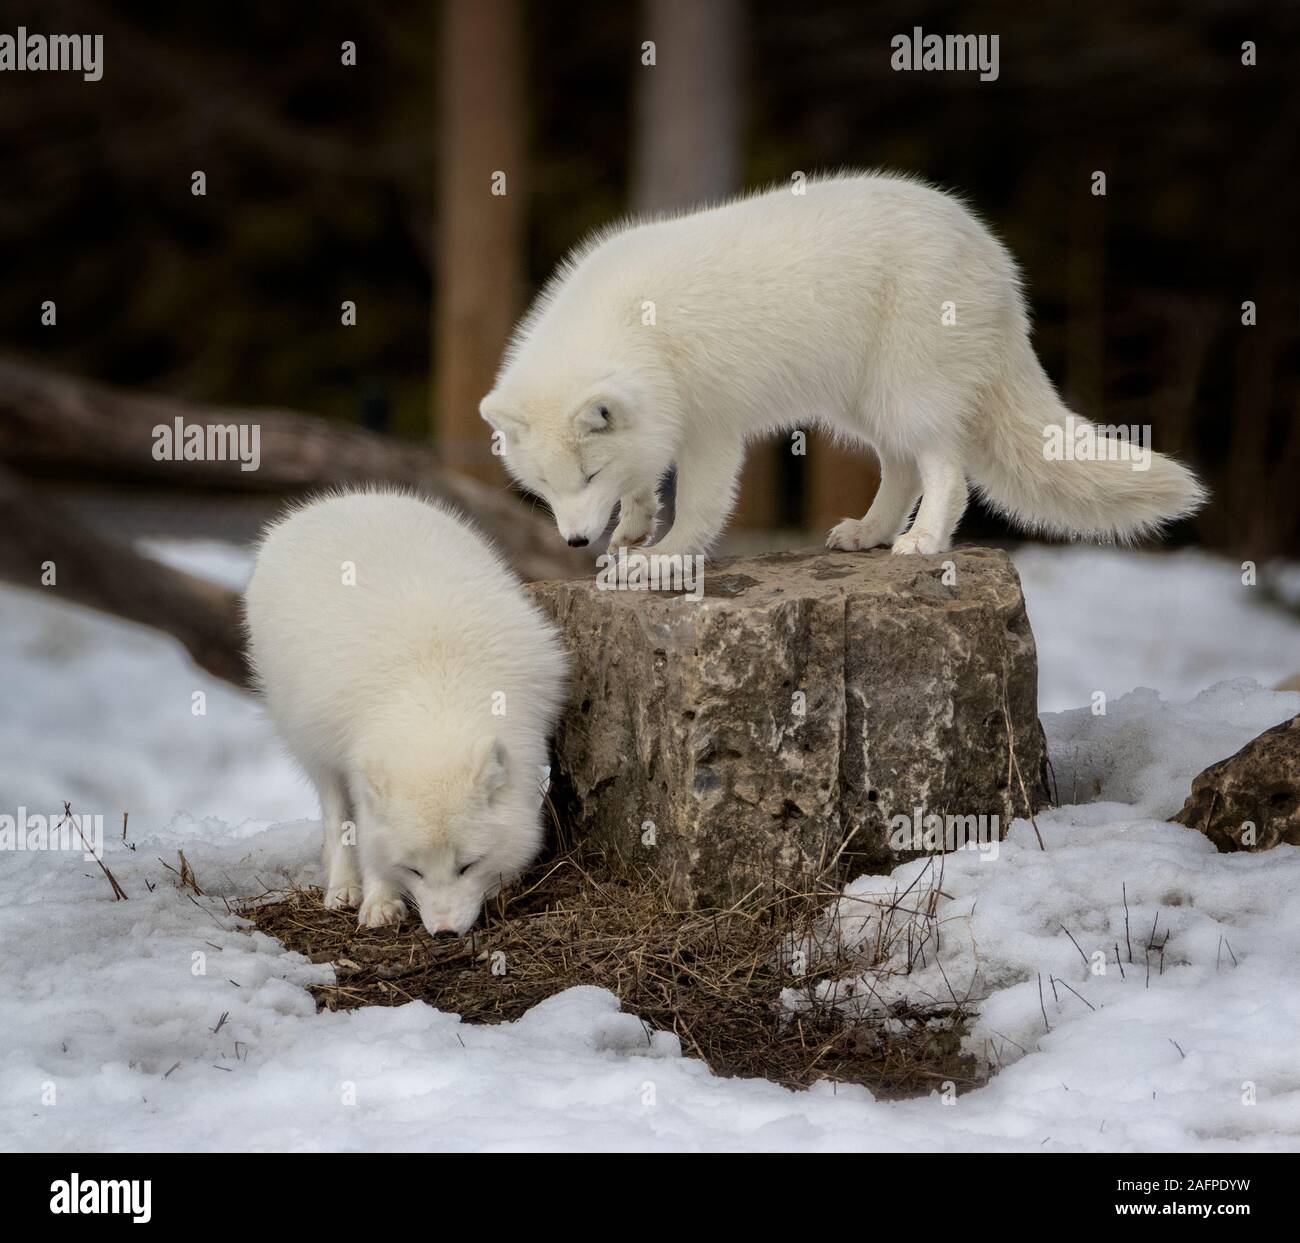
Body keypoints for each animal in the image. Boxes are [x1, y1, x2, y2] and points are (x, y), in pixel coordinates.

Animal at [243, 490, 568, 935]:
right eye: (414, 870)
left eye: (468, 865)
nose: (445, 933)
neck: (435, 695)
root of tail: (336, 501)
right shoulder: (357, 762)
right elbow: (365, 836)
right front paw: (379, 898)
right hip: (309, 743)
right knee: (335, 817)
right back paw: (343, 887)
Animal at [480, 172, 1205, 559]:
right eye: (543, 487)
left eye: (588, 472)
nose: (575, 544)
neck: (639, 330)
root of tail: (997, 259)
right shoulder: (661, 418)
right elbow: (643, 483)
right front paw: (632, 530)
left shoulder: (711, 426)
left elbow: (701, 504)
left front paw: (663, 558)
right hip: (862, 405)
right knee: (904, 468)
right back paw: (872, 532)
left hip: (905, 392)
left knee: (947, 468)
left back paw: (923, 540)